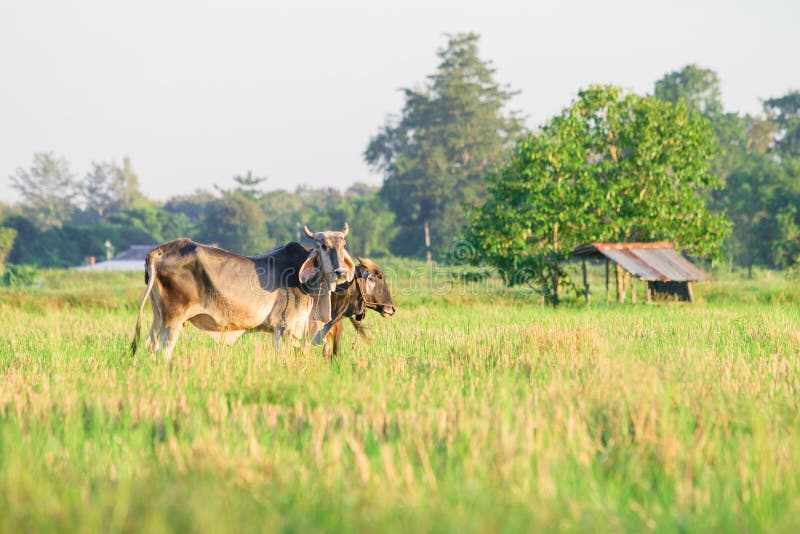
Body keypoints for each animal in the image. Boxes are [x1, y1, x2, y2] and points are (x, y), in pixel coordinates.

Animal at [130, 223, 355, 360]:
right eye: (323, 246)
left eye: (343, 244)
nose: (341, 272)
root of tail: (157, 252)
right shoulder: (284, 328)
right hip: (173, 320)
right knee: (163, 350)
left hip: (159, 316)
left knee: (150, 345)